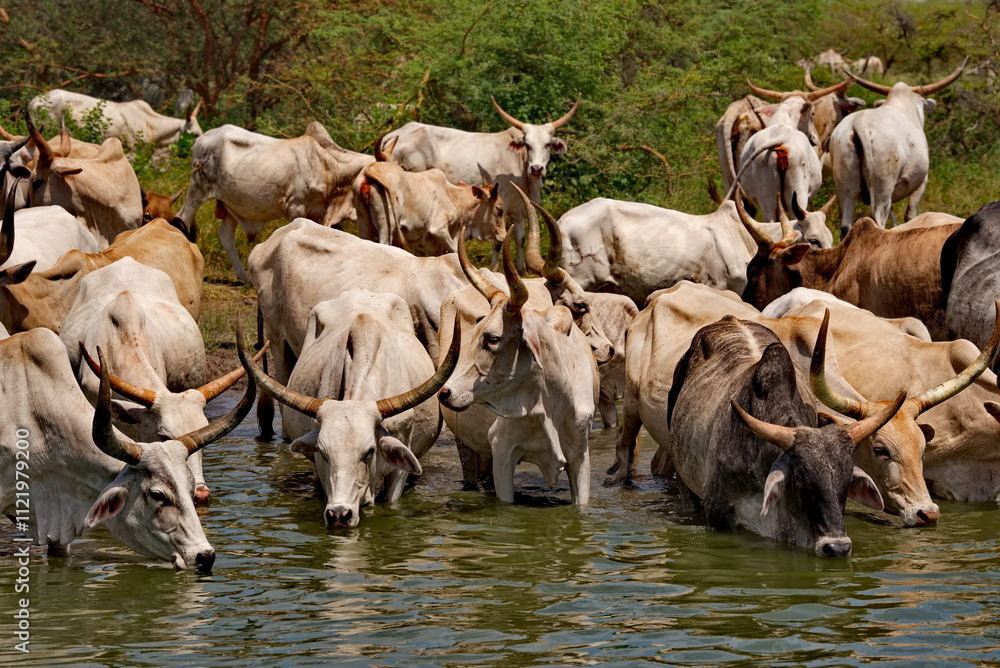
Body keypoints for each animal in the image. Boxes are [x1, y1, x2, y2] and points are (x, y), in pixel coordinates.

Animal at [176, 122, 375, 282]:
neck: (329, 166)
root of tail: (202, 138)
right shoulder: (296, 207)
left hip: (229, 203)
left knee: (225, 235)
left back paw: (244, 278)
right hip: (198, 190)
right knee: (183, 218)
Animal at [354, 139, 504, 256]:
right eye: (499, 209)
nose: (502, 236)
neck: (454, 197)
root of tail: (371, 170)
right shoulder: (439, 228)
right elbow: (456, 252)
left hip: (364, 226)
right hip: (386, 228)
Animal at [379, 95, 580, 272]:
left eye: (547, 144)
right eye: (527, 144)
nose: (536, 168)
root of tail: (397, 133)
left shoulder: (519, 210)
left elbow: (520, 238)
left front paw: (522, 270)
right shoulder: (500, 203)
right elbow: (499, 239)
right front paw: (494, 269)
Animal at [437, 230, 599, 504]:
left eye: (492, 338)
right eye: (473, 333)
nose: (445, 393)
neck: (550, 403)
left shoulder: (581, 455)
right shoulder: (503, 452)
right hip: (464, 443)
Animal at [829, 58, 968, 235]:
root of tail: (859, 121)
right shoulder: (920, 184)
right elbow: (910, 215)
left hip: (845, 187)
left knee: (846, 225)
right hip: (882, 187)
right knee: (878, 219)